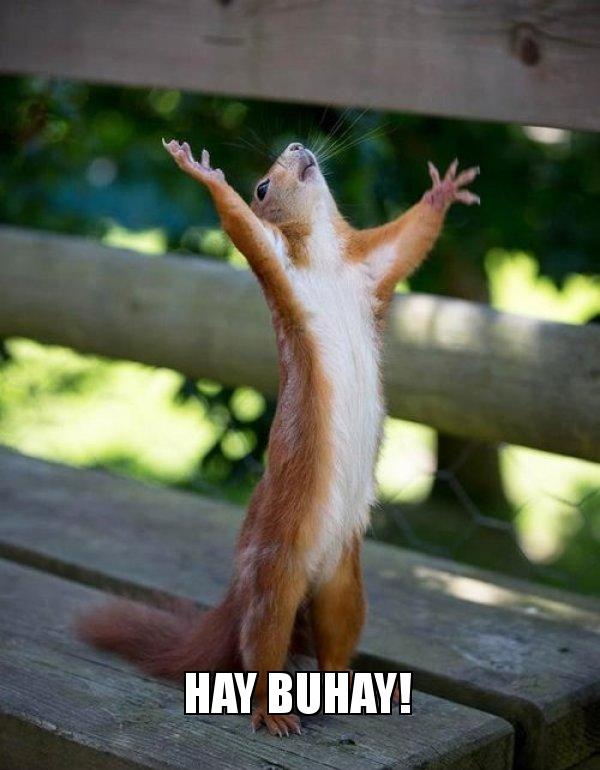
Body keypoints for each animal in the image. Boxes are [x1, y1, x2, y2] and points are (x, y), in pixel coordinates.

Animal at [78, 138, 479, 737]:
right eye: (262, 186)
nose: (296, 146)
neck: (328, 259)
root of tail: (241, 590)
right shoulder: (278, 266)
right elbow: (242, 227)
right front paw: (204, 173)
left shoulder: (371, 267)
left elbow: (408, 241)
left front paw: (443, 191)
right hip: (275, 573)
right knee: (262, 648)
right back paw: (274, 711)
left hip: (344, 584)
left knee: (336, 640)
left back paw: (348, 685)